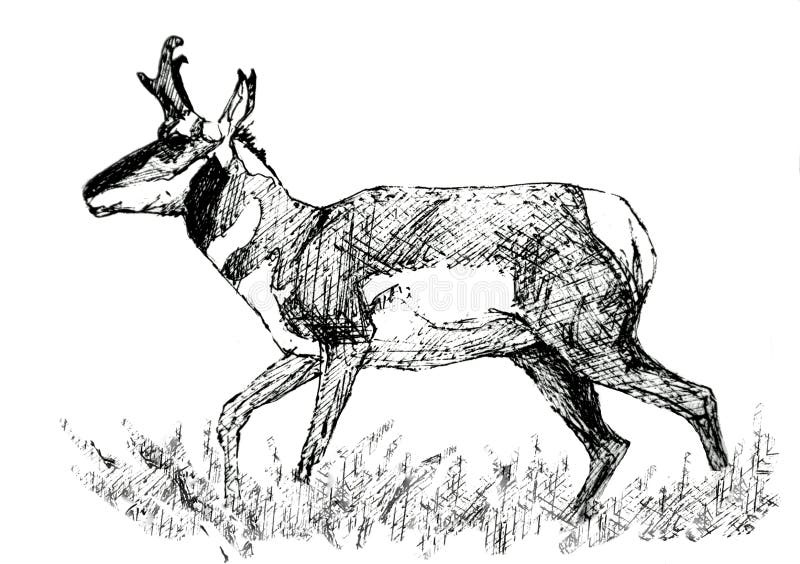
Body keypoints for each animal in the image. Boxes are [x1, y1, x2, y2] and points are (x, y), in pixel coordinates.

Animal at [83, 36, 727, 520]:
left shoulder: (345, 349)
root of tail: (615, 214)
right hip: (544, 359)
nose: (89, 191)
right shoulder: (302, 356)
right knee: (610, 443)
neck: (296, 234)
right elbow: (229, 414)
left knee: (696, 398)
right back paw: (566, 524)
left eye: (174, 142)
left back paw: (722, 499)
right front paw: (230, 502)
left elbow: (308, 450)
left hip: (594, 348)